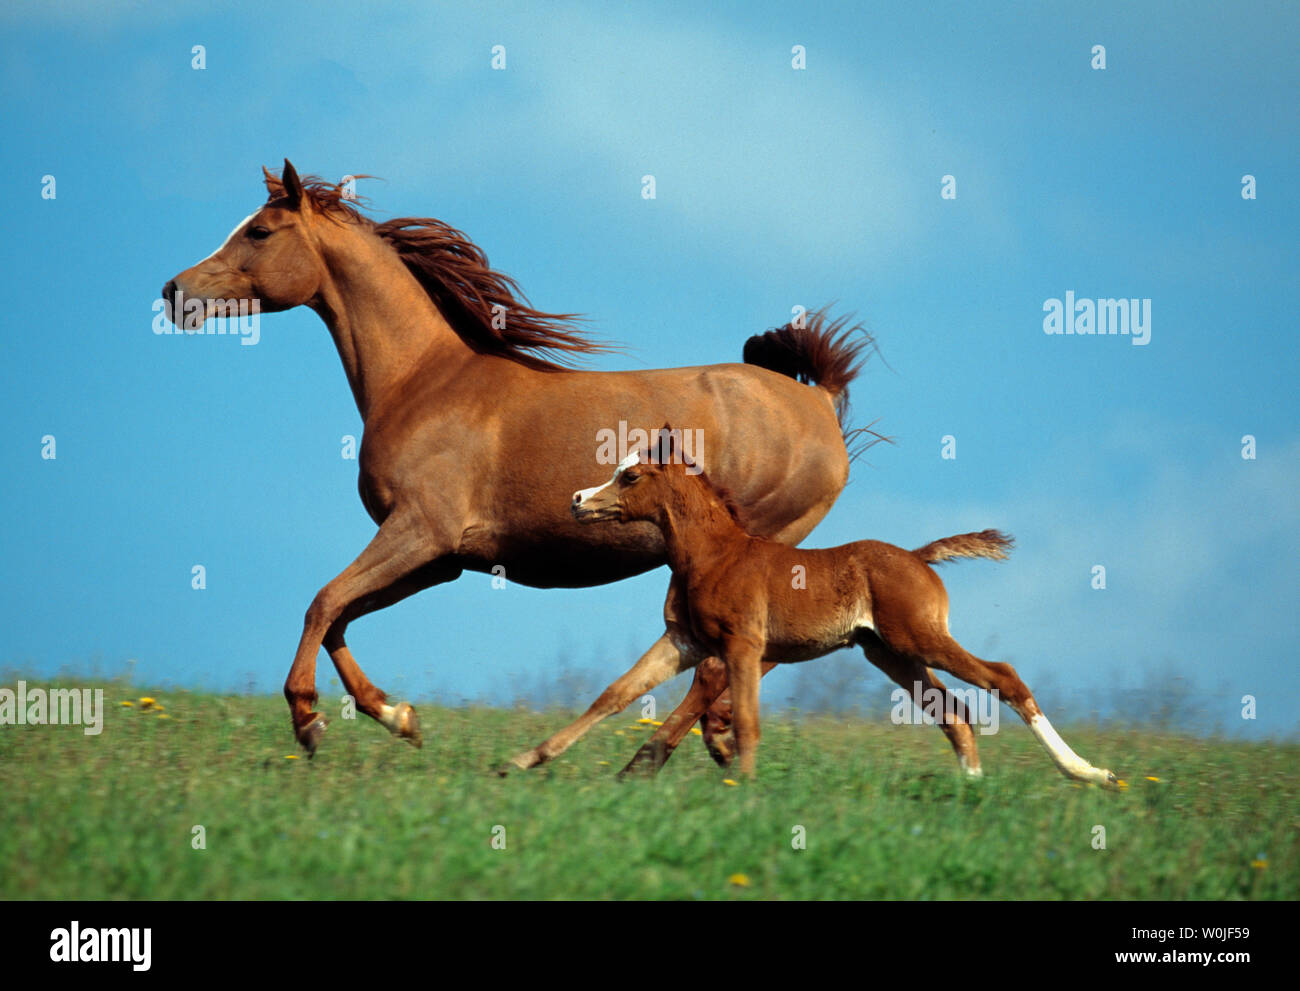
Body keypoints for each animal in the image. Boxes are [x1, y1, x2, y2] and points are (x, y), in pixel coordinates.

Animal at [162, 160, 937, 773]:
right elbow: (339, 619)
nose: (173, 291)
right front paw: (398, 717)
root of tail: (820, 402)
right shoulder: (440, 560)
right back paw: (674, 749)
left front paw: (309, 720)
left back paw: (675, 749)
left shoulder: (418, 531)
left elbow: (321, 602)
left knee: (729, 659)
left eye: (260, 232)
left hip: (752, 549)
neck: (424, 383)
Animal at [555, 427, 1118, 786]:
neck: (716, 554)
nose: (578, 499)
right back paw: (973, 790)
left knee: (1004, 677)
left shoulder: (743, 645)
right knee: (954, 713)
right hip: (889, 653)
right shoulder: (697, 643)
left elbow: (743, 720)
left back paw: (1090, 773)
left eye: (631, 476)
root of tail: (918, 557)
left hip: (921, 640)